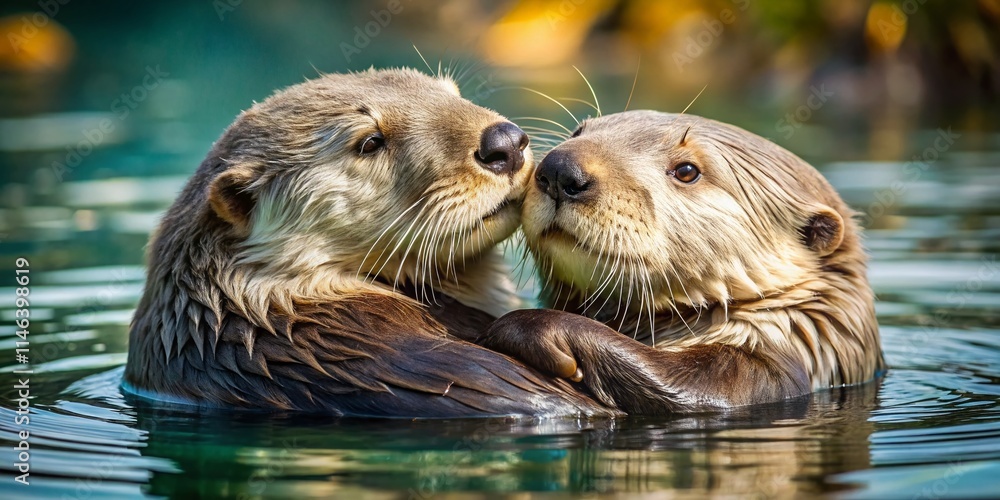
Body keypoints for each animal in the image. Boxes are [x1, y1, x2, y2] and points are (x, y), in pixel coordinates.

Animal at [481, 110, 885, 414]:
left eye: (687, 170)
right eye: (578, 132)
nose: (561, 168)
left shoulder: (764, 374)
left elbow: (685, 387)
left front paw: (532, 326)